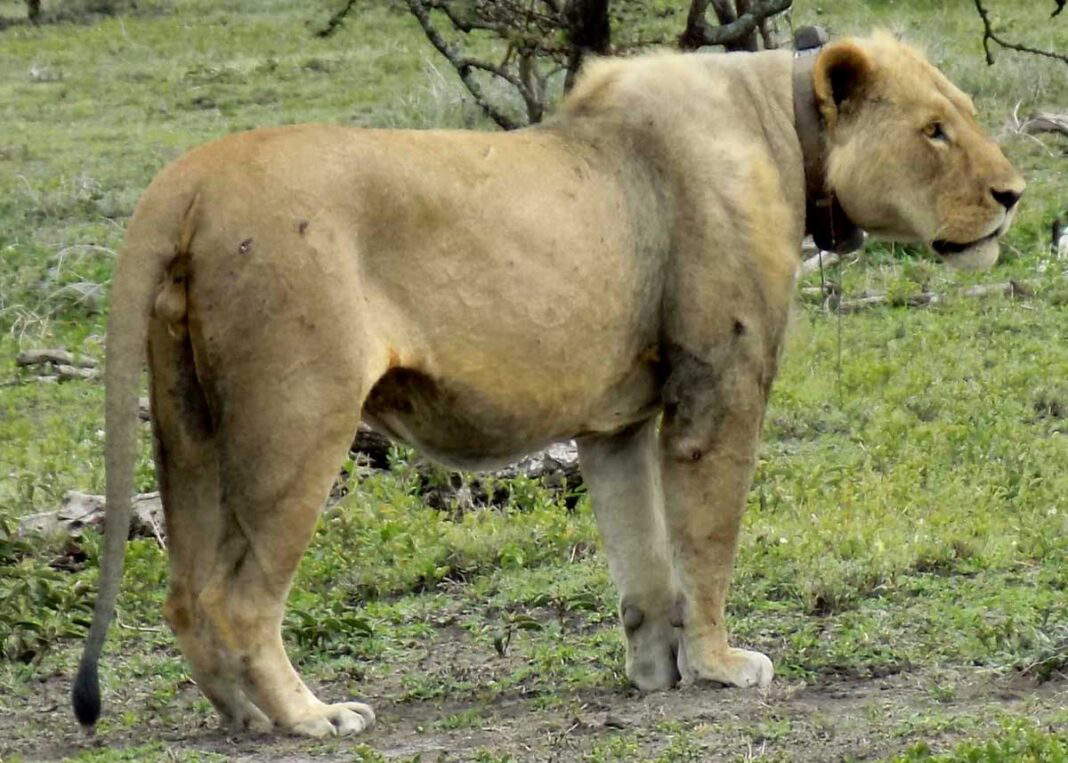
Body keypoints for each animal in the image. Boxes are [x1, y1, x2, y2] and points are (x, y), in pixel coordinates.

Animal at [73, 32, 1023, 737]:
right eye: (935, 130)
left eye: (965, 117)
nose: (1014, 194)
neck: (789, 135)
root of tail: (189, 175)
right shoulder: (718, 386)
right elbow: (707, 539)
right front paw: (722, 665)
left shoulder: (616, 425)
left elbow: (645, 560)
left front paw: (657, 672)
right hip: (297, 419)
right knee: (238, 599)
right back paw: (311, 716)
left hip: (188, 426)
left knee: (186, 595)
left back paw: (244, 717)